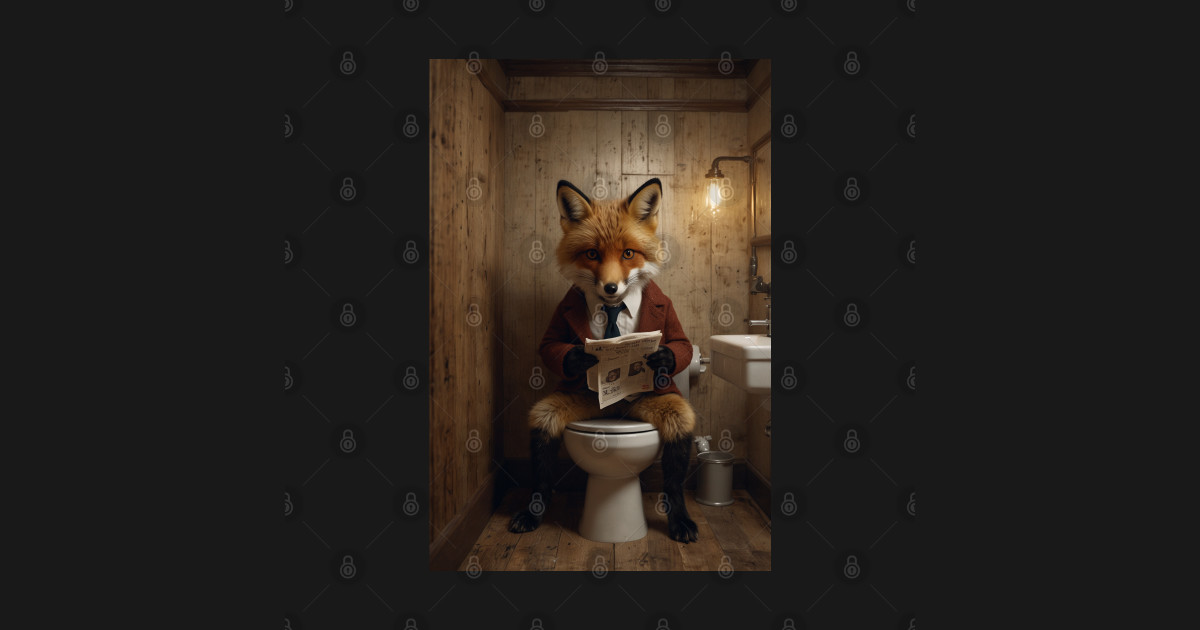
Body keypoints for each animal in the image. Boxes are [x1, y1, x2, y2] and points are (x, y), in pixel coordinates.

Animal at [507, 177, 700, 543]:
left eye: (628, 253)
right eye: (592, 254)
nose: (611, 288)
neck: (612, 308)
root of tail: (616, 412)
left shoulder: (668, 313)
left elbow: (681, 344)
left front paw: (662, 356)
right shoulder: (562, 315)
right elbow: (550, 345)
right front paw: (581, 358)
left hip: (666, 412)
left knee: (674, 473)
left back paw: (680, 520)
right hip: (559, 411)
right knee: (543, 449)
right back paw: (532, 512)